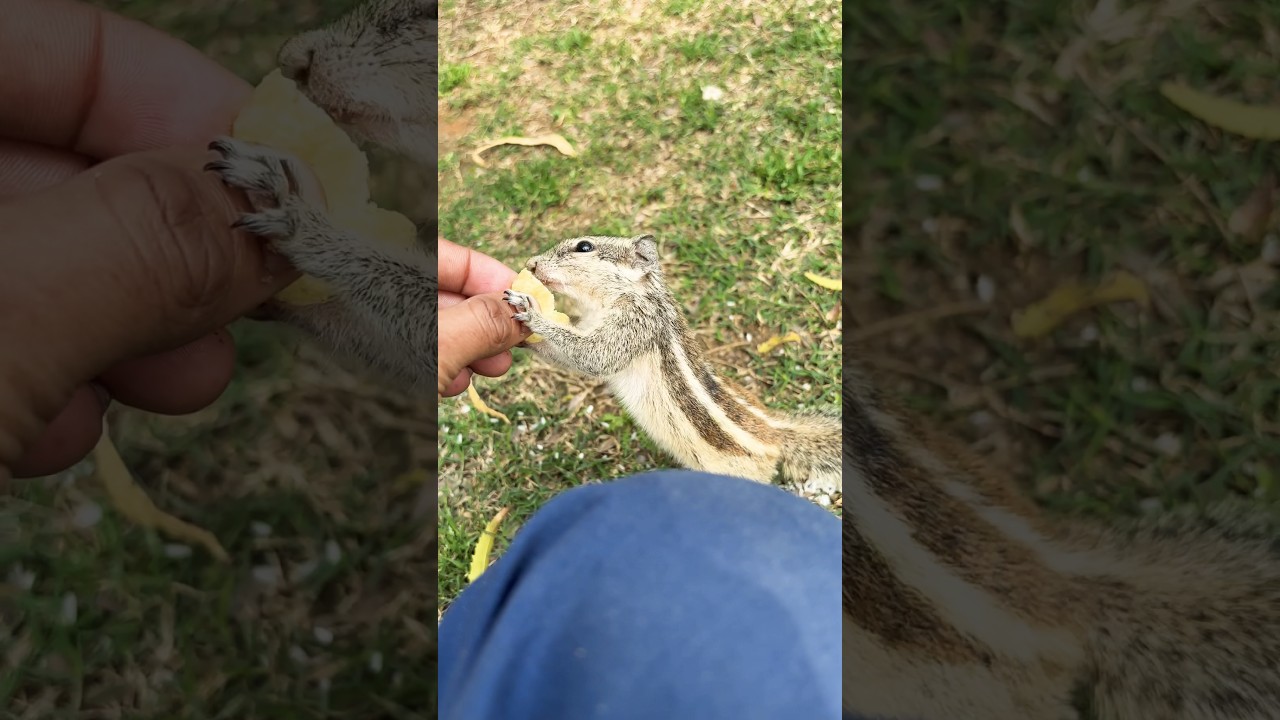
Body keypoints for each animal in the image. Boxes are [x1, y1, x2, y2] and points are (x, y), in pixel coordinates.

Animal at [503, 234, 841, 497]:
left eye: (584, 247)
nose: (532, 264)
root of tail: (777, 435)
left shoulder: (634, 323)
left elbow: (594, 356)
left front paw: (532, 311)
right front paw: (526, 340)